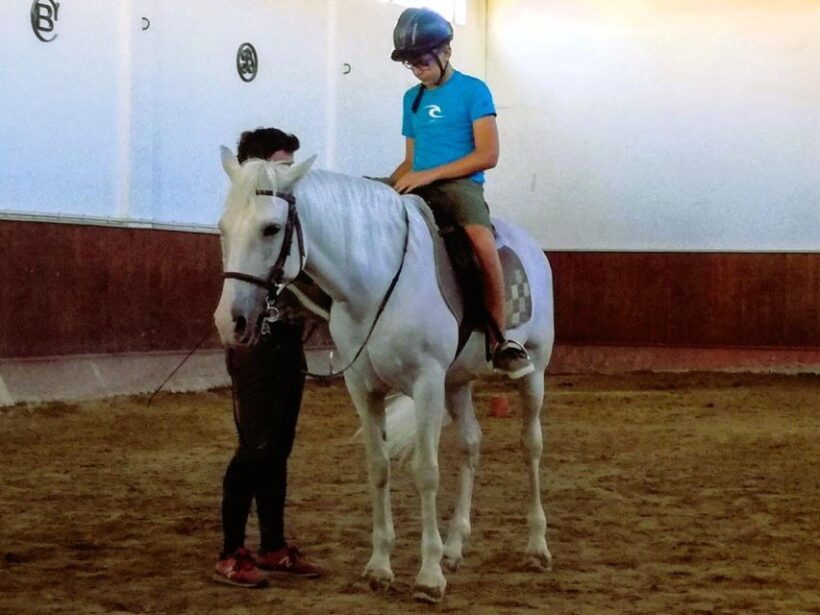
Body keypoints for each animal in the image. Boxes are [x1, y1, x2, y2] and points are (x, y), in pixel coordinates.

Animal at [213, 148, 555, 603]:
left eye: (271, 229)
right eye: (223, 228)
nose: (229, 322)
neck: (374, 282)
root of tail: (531, 245)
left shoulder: (426, 384)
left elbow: (426, 473)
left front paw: (428, 576)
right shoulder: (363, 388)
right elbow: (378, 468)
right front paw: (380, 567)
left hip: (532, 374)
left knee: (530, 446)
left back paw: (536, 546)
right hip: (457, 383)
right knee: (471, 444)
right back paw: (455, 546)